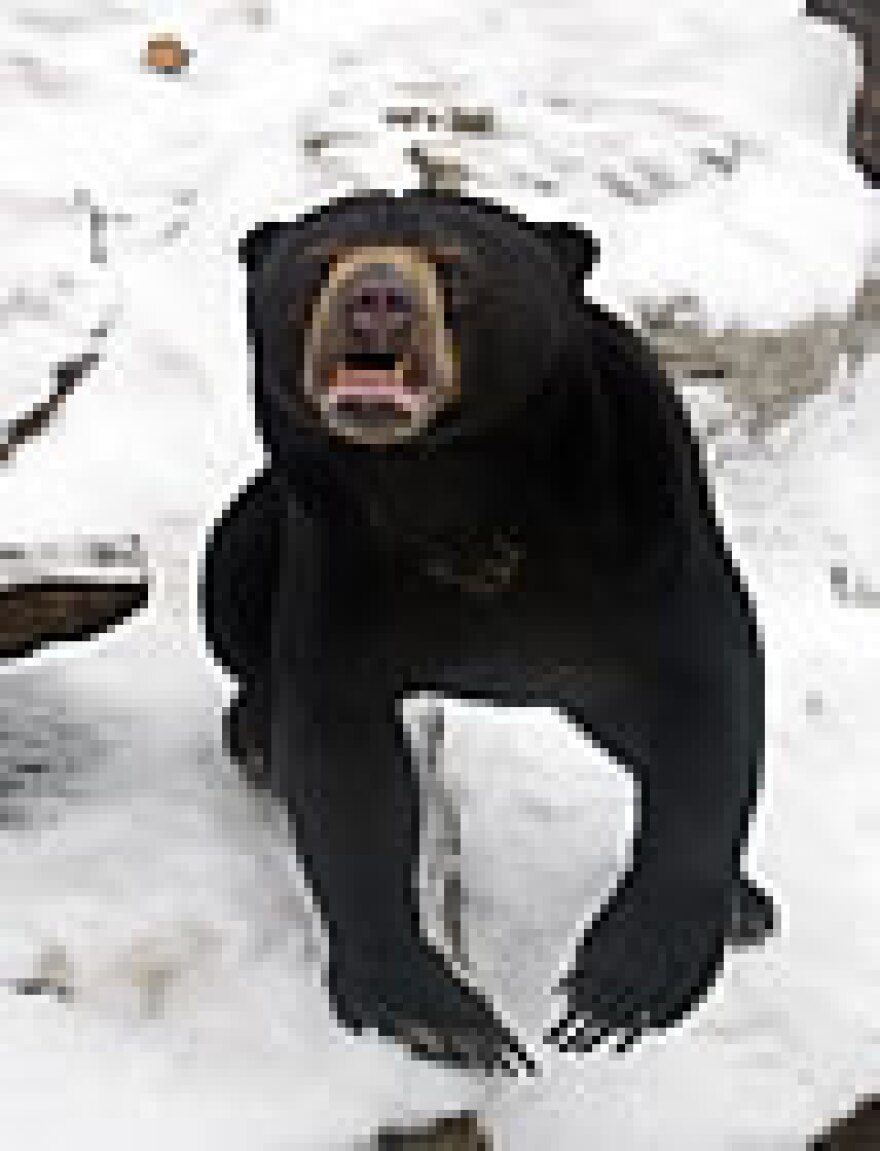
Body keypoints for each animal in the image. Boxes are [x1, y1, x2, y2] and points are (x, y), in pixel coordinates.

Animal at [200, 189, 775, 1074]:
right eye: (320, 263)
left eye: (455, 268)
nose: (376, 298)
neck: (448, 482)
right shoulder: (336, 553)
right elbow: (342, 757)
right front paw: (445, 1020)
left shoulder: (646, 516)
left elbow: (709, 686)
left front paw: (616, 991)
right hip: (251, 532)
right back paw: (257, 738)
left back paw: (744, 906)